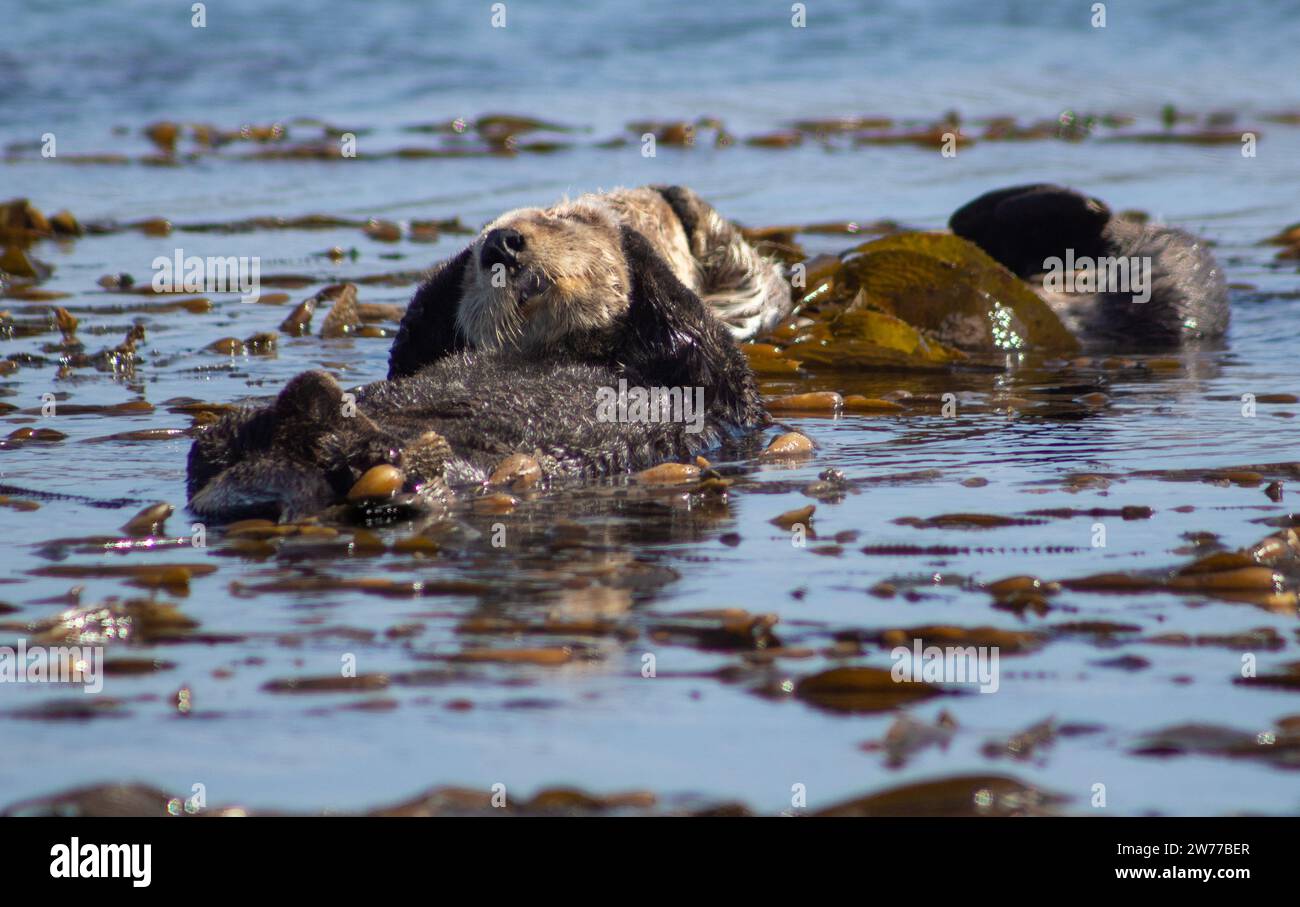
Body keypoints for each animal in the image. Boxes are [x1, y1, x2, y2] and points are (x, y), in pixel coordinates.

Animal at [187, 226, 767, 523]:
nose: (507, 244)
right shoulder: (419, 350)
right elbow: (415, 339)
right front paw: (480, 244)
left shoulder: (719, 396)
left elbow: (707, 345)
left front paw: (615, 231)